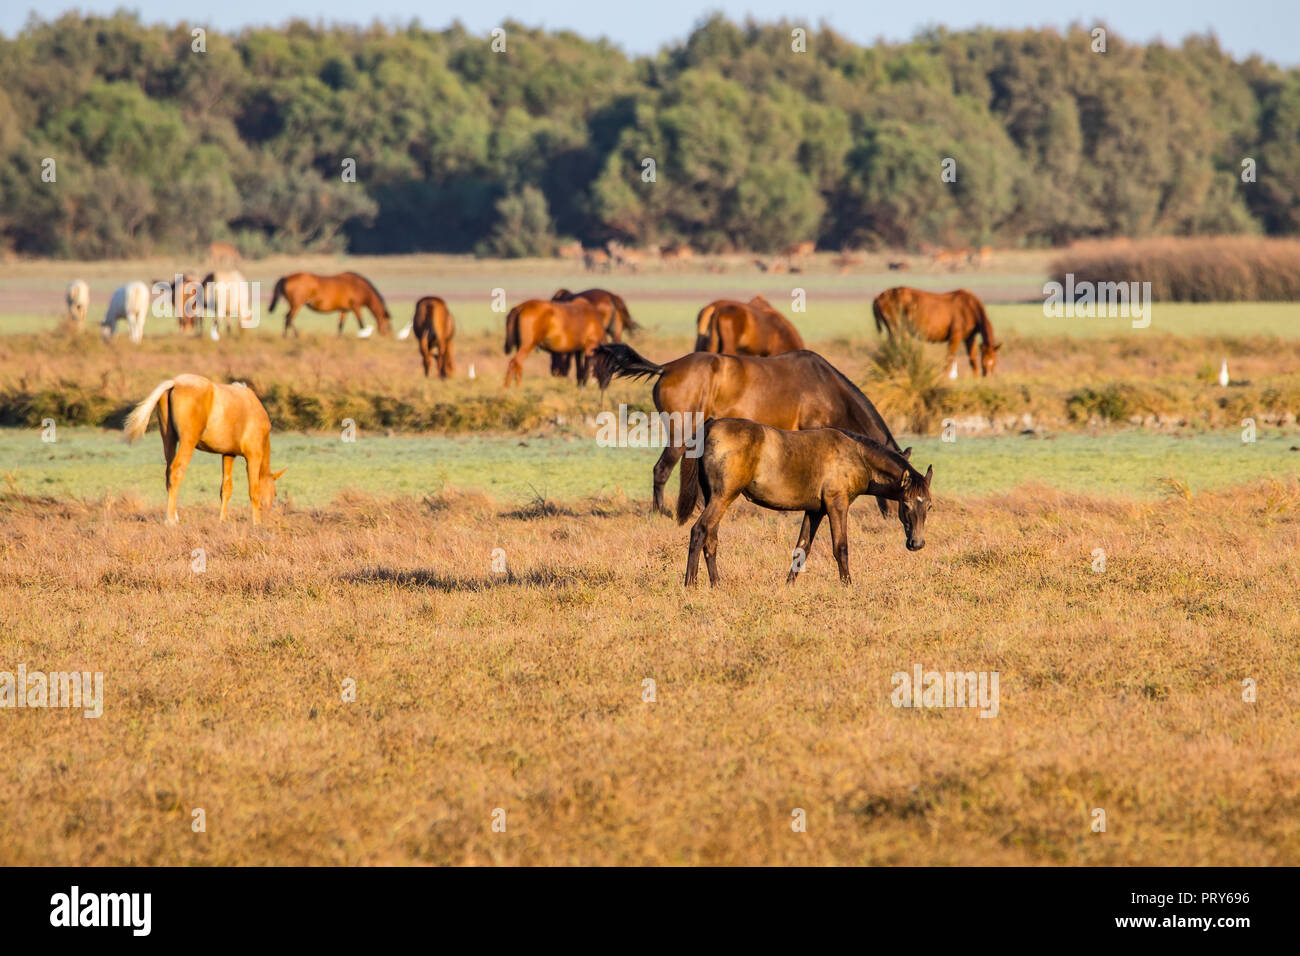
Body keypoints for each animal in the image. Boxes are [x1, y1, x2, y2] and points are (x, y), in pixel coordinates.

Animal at [123, 374, 284, 525]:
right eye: (275, 493)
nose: (271, 518)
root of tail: (175, 382)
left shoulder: (228, 454)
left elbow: (226, 488)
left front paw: (222, 520)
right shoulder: (253, 457)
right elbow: (254, 491)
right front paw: (257, 523)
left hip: (169, 439)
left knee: (168, 473)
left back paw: (174, 516)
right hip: (187, 442)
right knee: (176, 471)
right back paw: (171, 520)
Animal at [591, 343, 908, 517]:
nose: (893, 515)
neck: (825, 385)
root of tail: (667, 368)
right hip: (681, 432)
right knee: (661, 470)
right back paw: (660, 512)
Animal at [683, 418, 933, 587]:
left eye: (929, 506)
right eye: (906, 504)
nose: (917, 543)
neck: (856, 455)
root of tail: (711, 425)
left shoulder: (815, 511)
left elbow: (802, 549)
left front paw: (788, 586)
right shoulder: (837, 505)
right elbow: (840, 547)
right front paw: (848, 586)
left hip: (716, 499)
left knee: (711, 540)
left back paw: (716, 585)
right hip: (722, 498)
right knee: (699, 531)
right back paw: (690, 585)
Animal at [872, 287, 1000, 376]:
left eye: (994, 362)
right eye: (985, 361)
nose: (987, 376)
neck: (970, 306)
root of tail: (878, 297)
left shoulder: (969, 338)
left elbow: (973, 360)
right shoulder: (955, 337)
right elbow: (949, 359)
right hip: (896, 331)